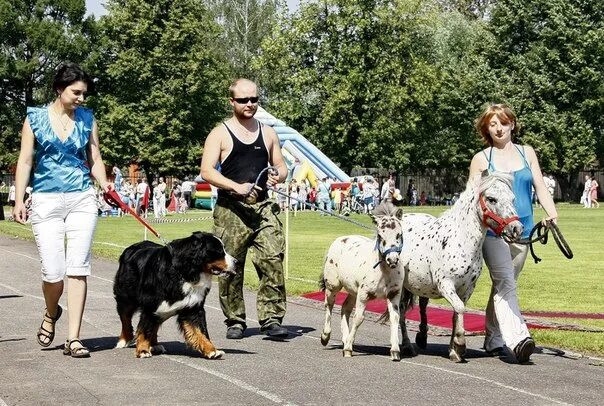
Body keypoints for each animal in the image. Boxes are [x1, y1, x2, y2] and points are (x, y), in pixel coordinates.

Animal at [318, 203, 404, 362]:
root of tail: (339, 240)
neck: (384, 272)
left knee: (345, 308)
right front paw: (348, 349)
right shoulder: (364, 294)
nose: (392, 260)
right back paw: (326, 336)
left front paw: (395, 351)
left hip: (353, 291)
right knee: (329, 305)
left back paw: (345, 338)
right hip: (333, 286)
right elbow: (358, 318)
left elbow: (395, 318)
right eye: (380, 235)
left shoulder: (394, 294)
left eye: (399, 234)